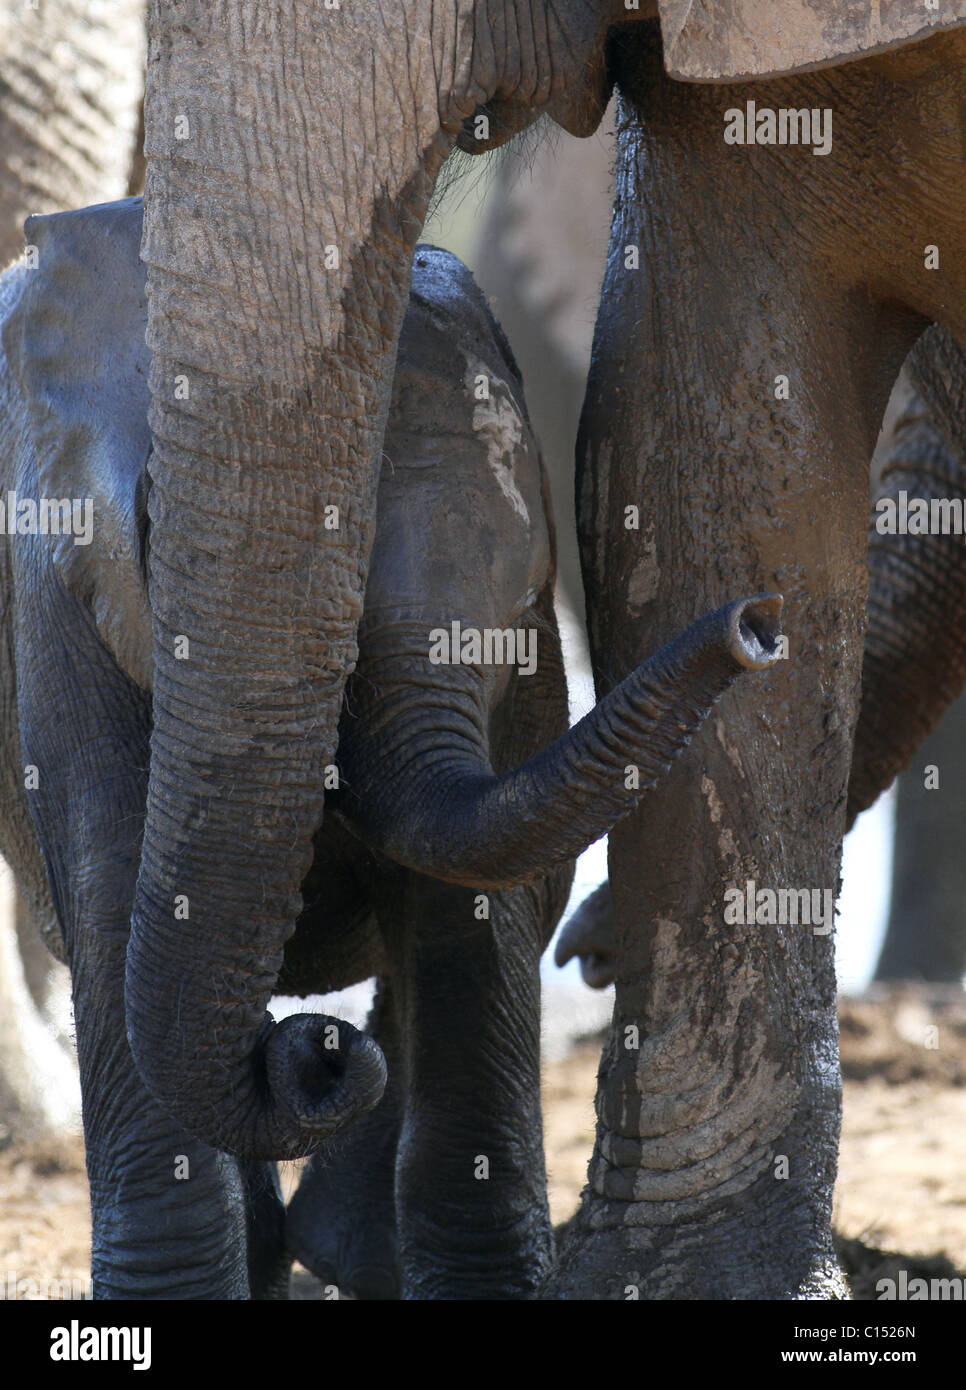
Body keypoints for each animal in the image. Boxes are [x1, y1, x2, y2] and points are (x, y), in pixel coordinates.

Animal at [0, 196, 780, 1297]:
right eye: (161, 543)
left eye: (528, 595)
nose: (759, 622)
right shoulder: (57, 588)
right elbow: (111, 891)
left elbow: (468, 914)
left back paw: (340, 1239)